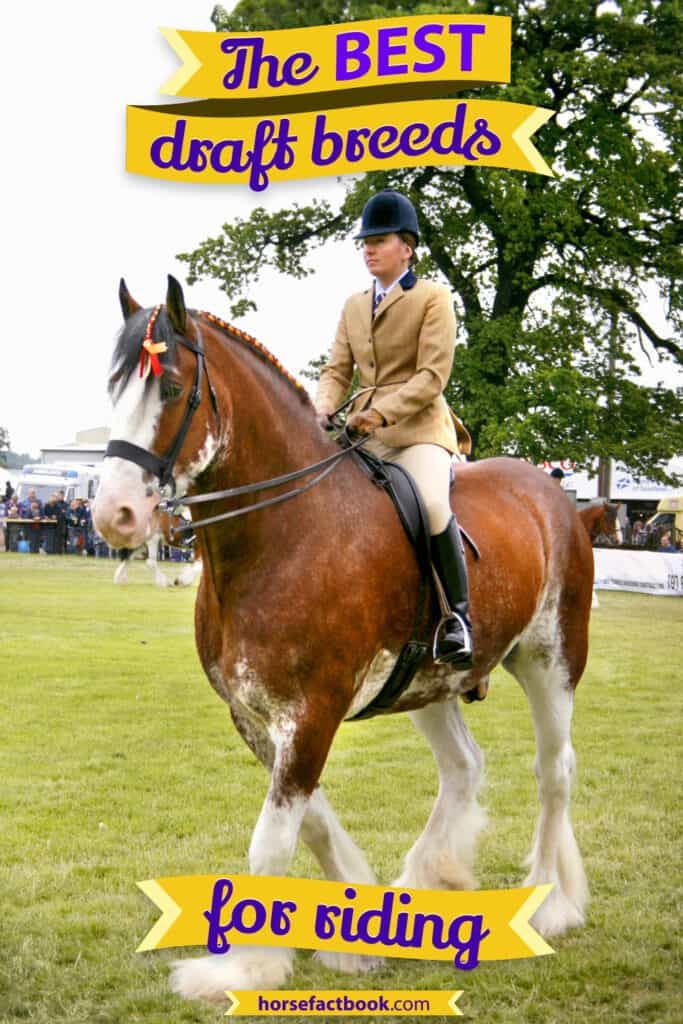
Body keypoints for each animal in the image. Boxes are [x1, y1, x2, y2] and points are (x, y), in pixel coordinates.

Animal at [93, 277, 594, 1002]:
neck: (283, 530)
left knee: (553, 771)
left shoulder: (311, 712)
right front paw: (356, 939)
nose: (115, 516)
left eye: (175, 388)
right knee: (463, 768)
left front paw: (244, 967)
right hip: (427, 682)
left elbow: (273, 838)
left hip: (549, 660)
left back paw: (550, 903)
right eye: (112, 385)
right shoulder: (255, 716)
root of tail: (551, 492)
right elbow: (312, 823)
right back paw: (424, 884)